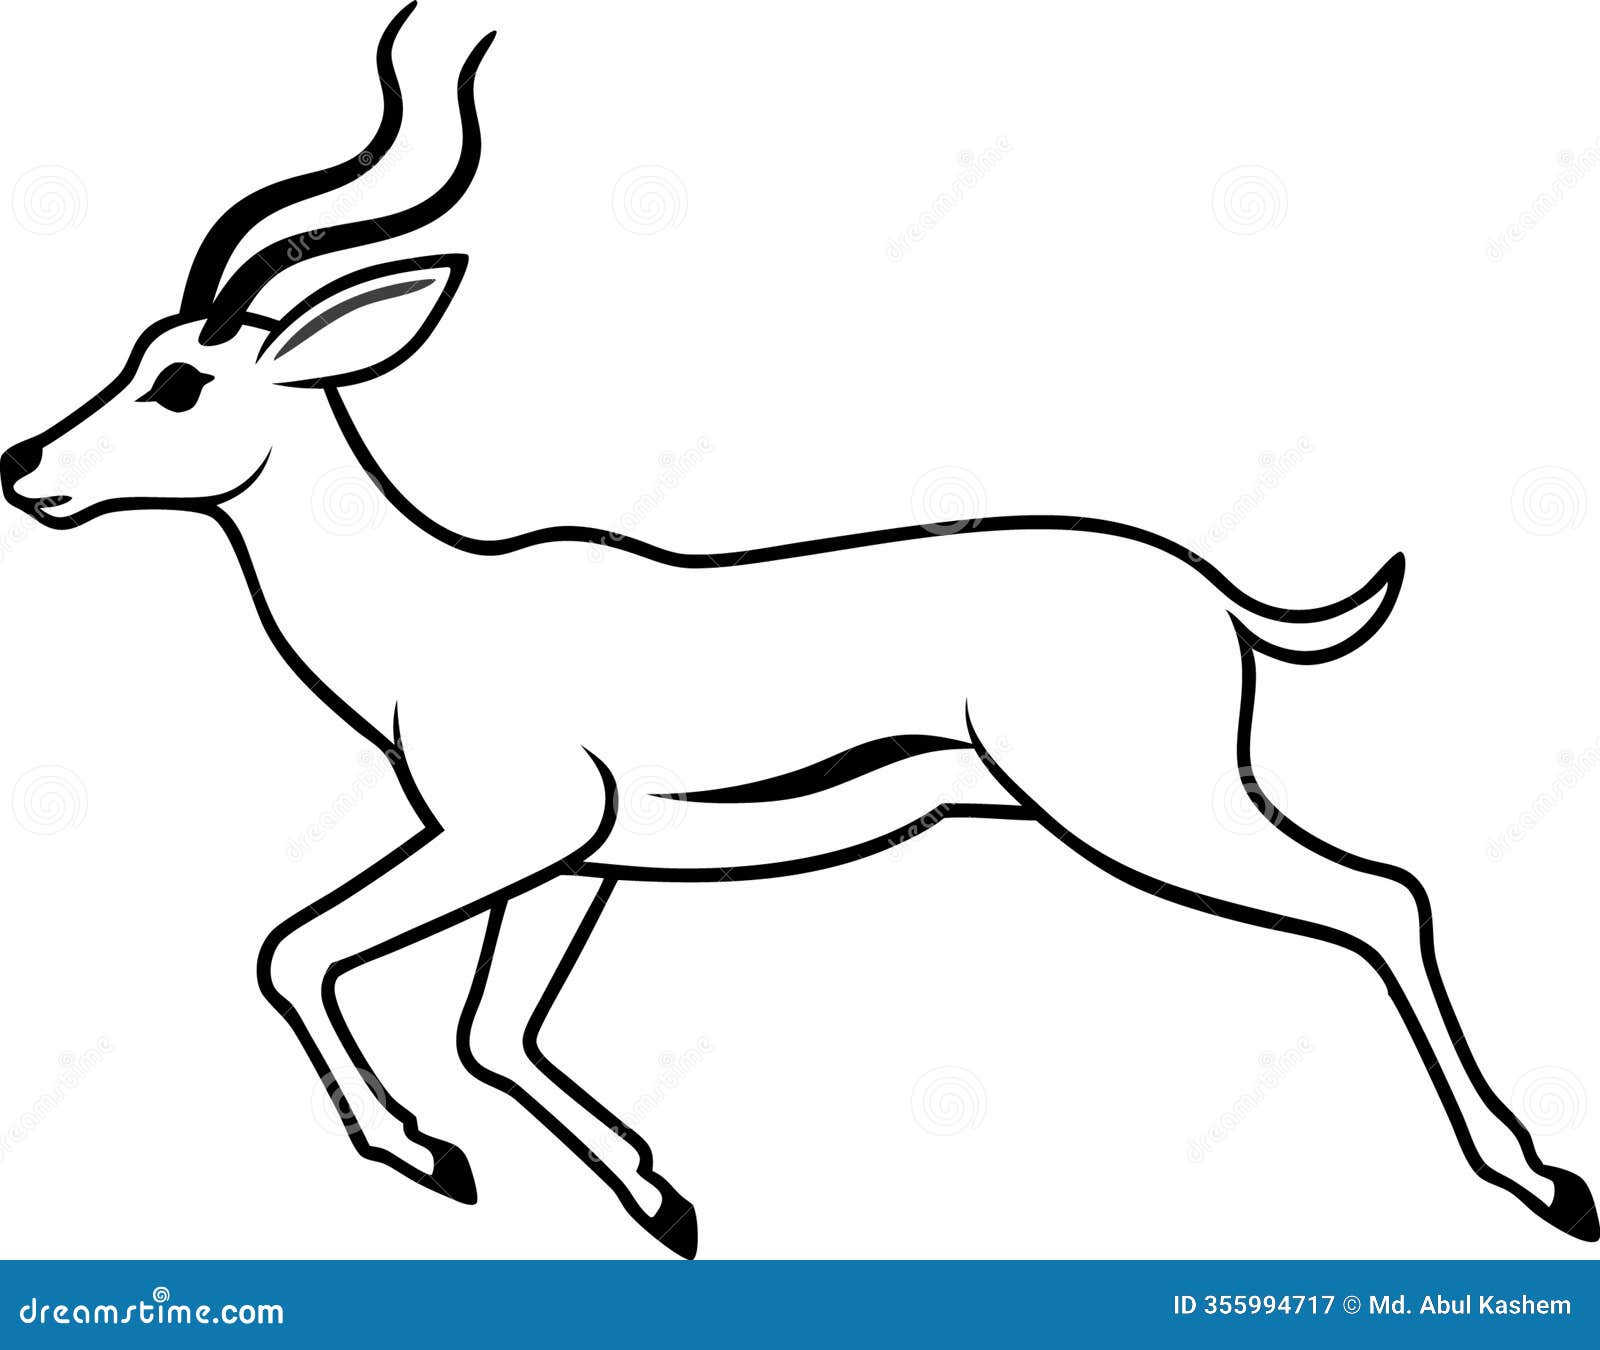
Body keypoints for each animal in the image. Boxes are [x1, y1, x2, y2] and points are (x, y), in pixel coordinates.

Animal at [3, 6, 1594, 1257]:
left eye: (183, 382)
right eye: (138, 357)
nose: (25, 469)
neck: (433, 606)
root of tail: (1207, 589)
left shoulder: (506, 829)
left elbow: (296, 948)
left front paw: (428, 1159)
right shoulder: (583, 860)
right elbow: (492, 1026)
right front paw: (661, 1201)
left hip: (1149, 808)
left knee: (1384, 896)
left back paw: (1545, 1184)